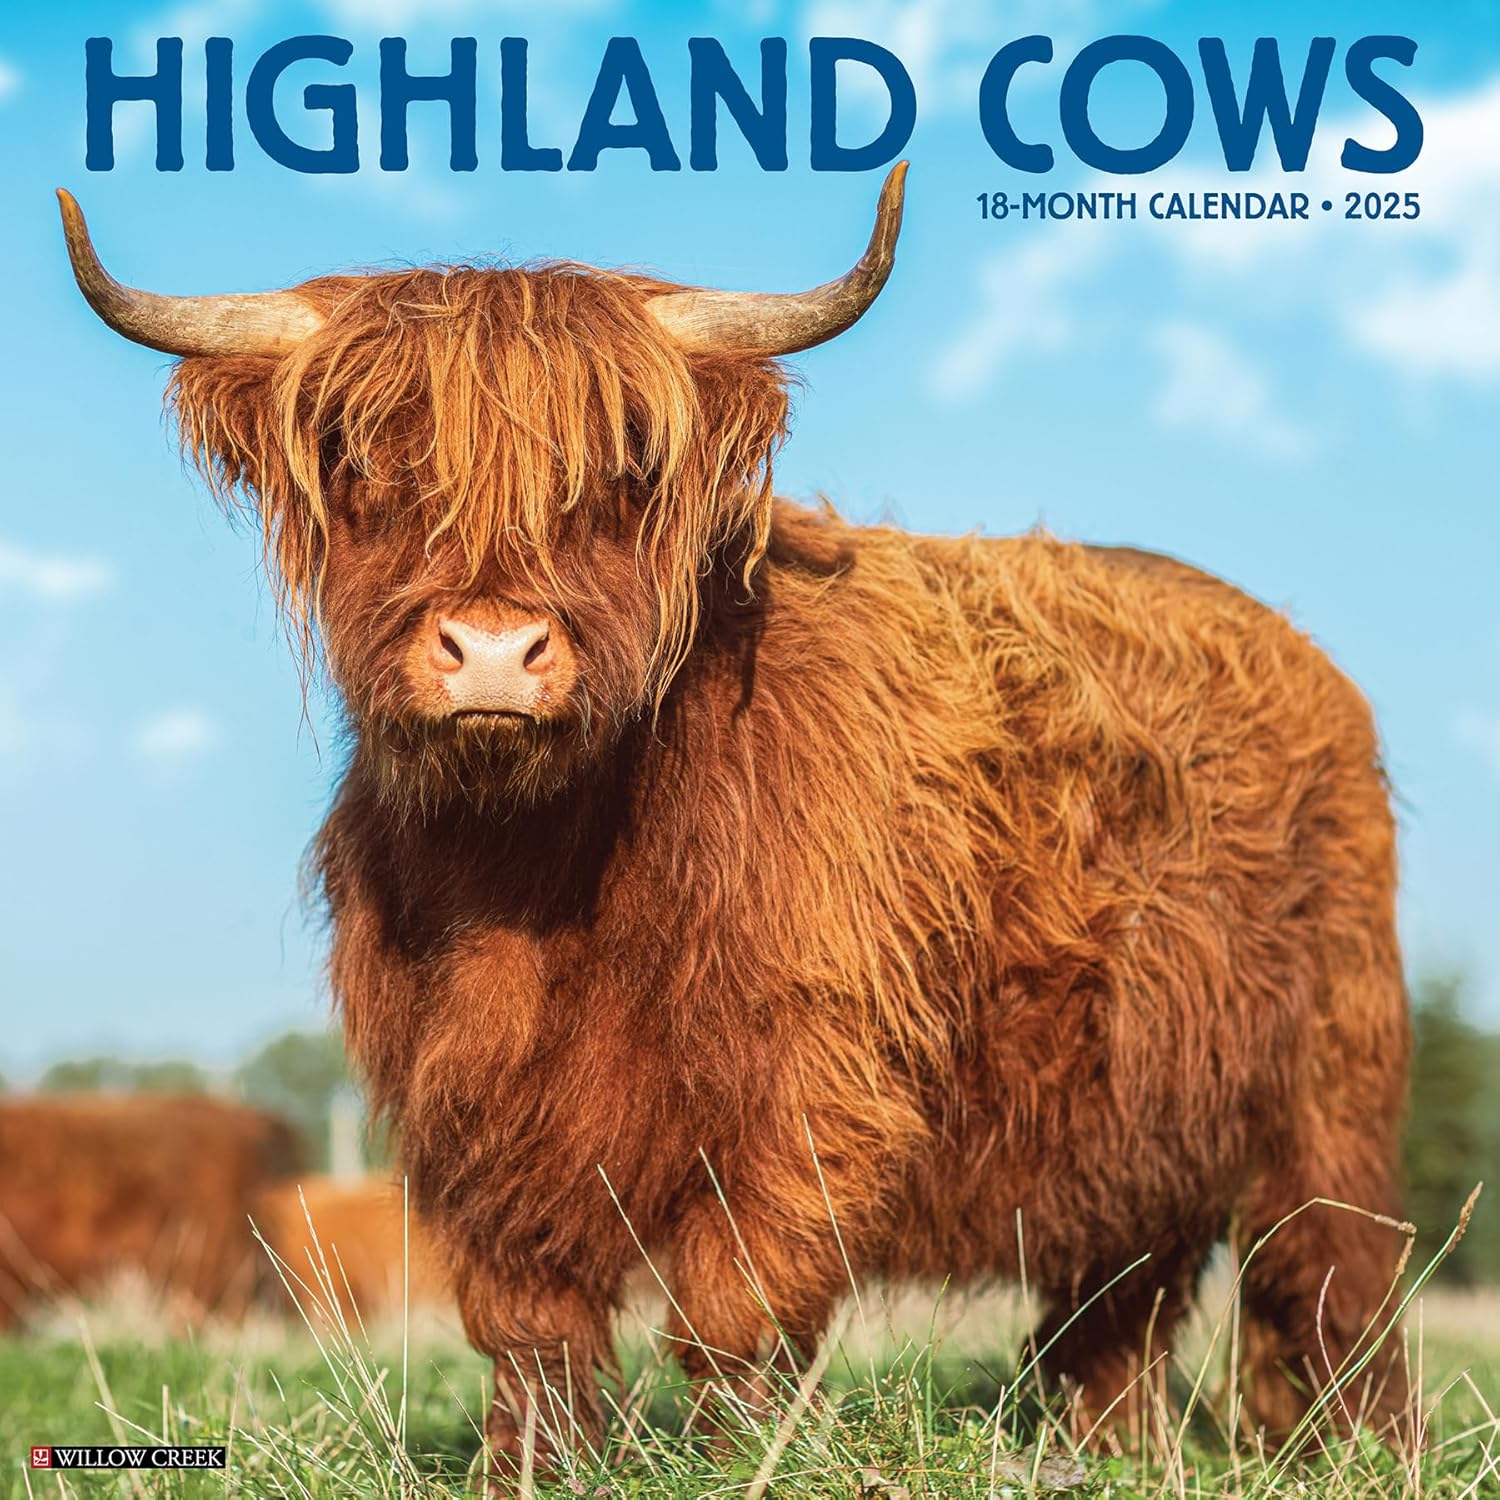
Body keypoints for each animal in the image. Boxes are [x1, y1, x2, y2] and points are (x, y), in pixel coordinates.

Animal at [58, 164, 1412, 1468]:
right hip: (1137, 1128)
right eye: (361, 461)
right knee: (1116, 1304)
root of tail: (1300, 652)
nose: (492, 650)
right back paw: (1110, 1448)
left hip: (1334, 1078)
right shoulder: (470, 1101)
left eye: (622, 473)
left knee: (1335, 1276)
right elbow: (529, 1324)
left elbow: (737, 1305)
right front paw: (529, 1467)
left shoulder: (812, 1076)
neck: (539, 880)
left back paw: (1355, 1447)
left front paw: (734, 1457)